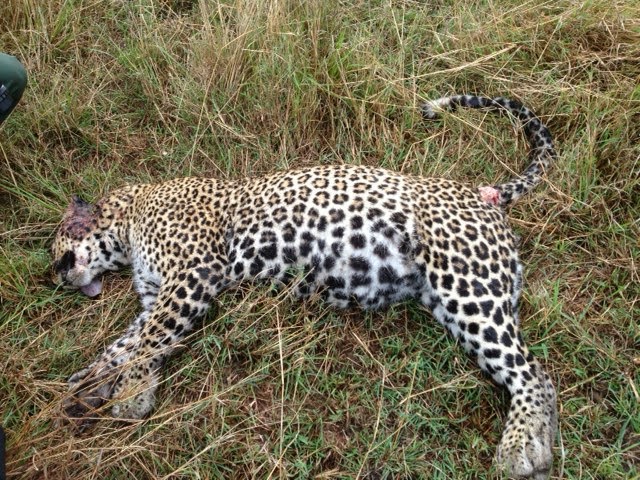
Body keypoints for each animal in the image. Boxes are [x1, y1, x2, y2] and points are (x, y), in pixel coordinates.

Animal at [51, 94, 558, 479]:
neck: (129, 221)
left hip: (466, 283)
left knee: (535, 374)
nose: (52, 277)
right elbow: (124, 343)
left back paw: (521, 449)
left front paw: (130, 394)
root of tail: (484, 193)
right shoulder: (156, 294)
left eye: (55, 249)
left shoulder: (190, 276)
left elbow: (148, 341)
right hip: (444, 299)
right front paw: (87, 385)